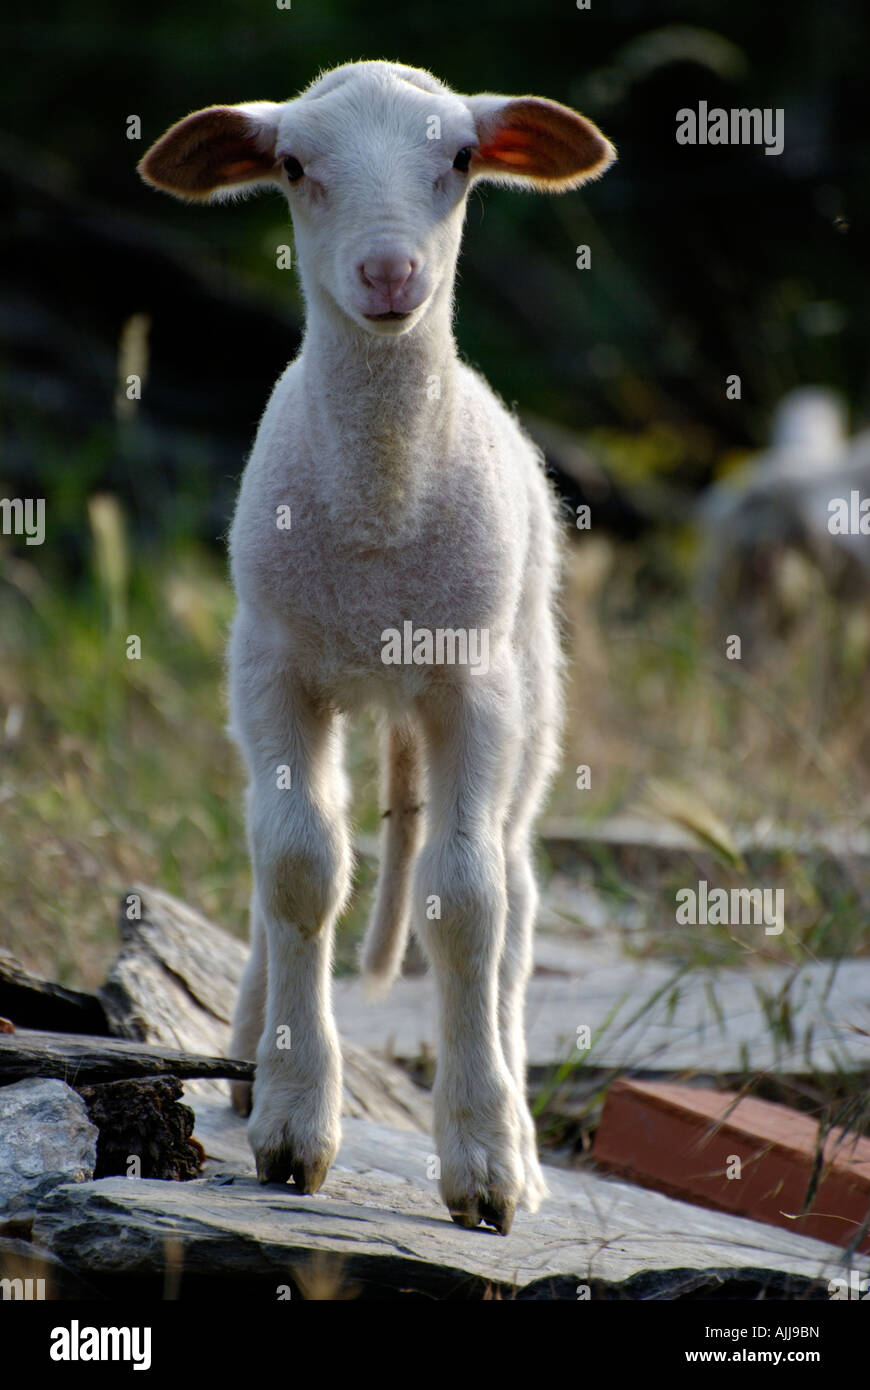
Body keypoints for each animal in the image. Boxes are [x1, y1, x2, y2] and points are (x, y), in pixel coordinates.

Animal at [139, 60, 615, 1234]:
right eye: (294, 167)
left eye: (462, 160)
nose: (392, 273)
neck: (381, 510)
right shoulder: (270, 669)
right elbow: (299, 867)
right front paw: (291, 1123)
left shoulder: (472, 687)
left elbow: (469, 898)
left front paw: (484, 1165)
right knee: (282, 857)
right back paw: (248, 1048)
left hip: (531, 695)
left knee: (518, 892)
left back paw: (523, 1136)